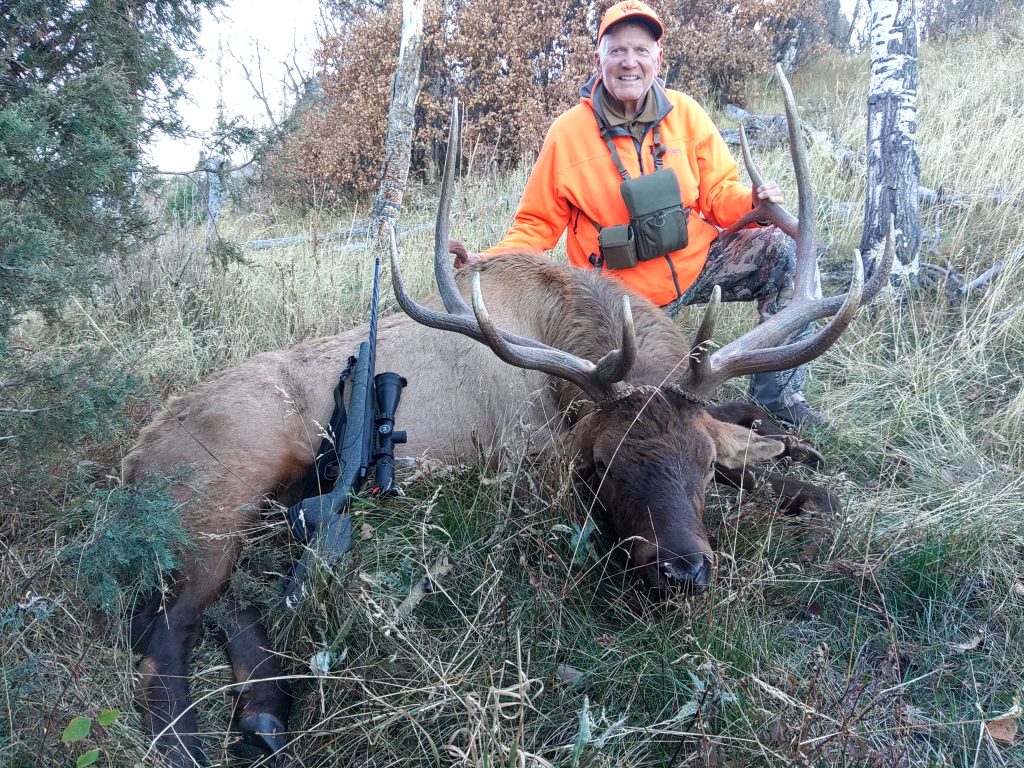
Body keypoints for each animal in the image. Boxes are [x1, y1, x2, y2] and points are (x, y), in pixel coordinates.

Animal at [123, 69, 893, 766]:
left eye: (704, 466)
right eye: (600, 466)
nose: (683, 571)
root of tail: (133, 462)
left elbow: (796, 478)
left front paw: (797, 465)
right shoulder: (524, 470)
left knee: (233, 606)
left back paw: (262, 717)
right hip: (216, 497)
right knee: (165, 632)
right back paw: (195, 742)